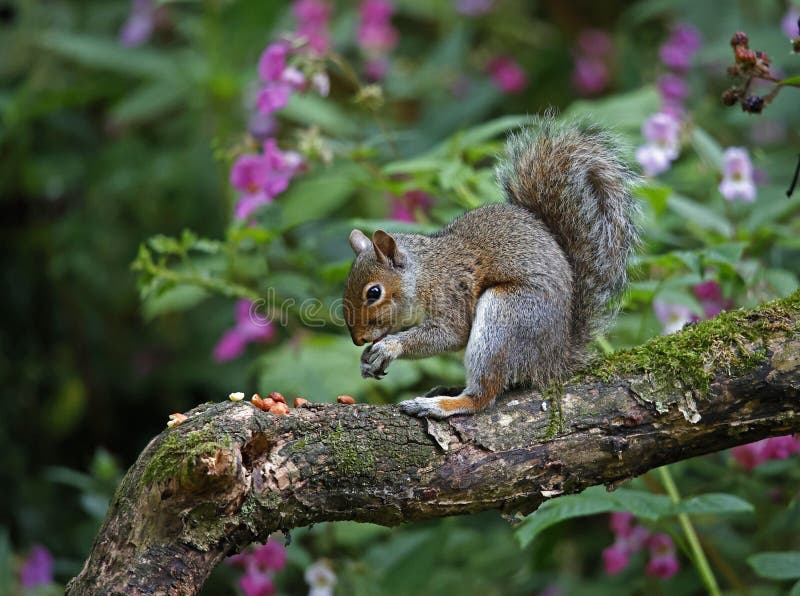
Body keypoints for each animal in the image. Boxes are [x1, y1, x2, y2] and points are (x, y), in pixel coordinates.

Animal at [343, 114, 640, 418]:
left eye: (374, 293)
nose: (358, 339)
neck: (424, 274)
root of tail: (554, 359)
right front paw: (366, 360)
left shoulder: (450, 294)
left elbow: (450, 334)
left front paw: (390, 347)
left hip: (505, 318)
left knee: (484, 394)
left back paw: (442, 404)